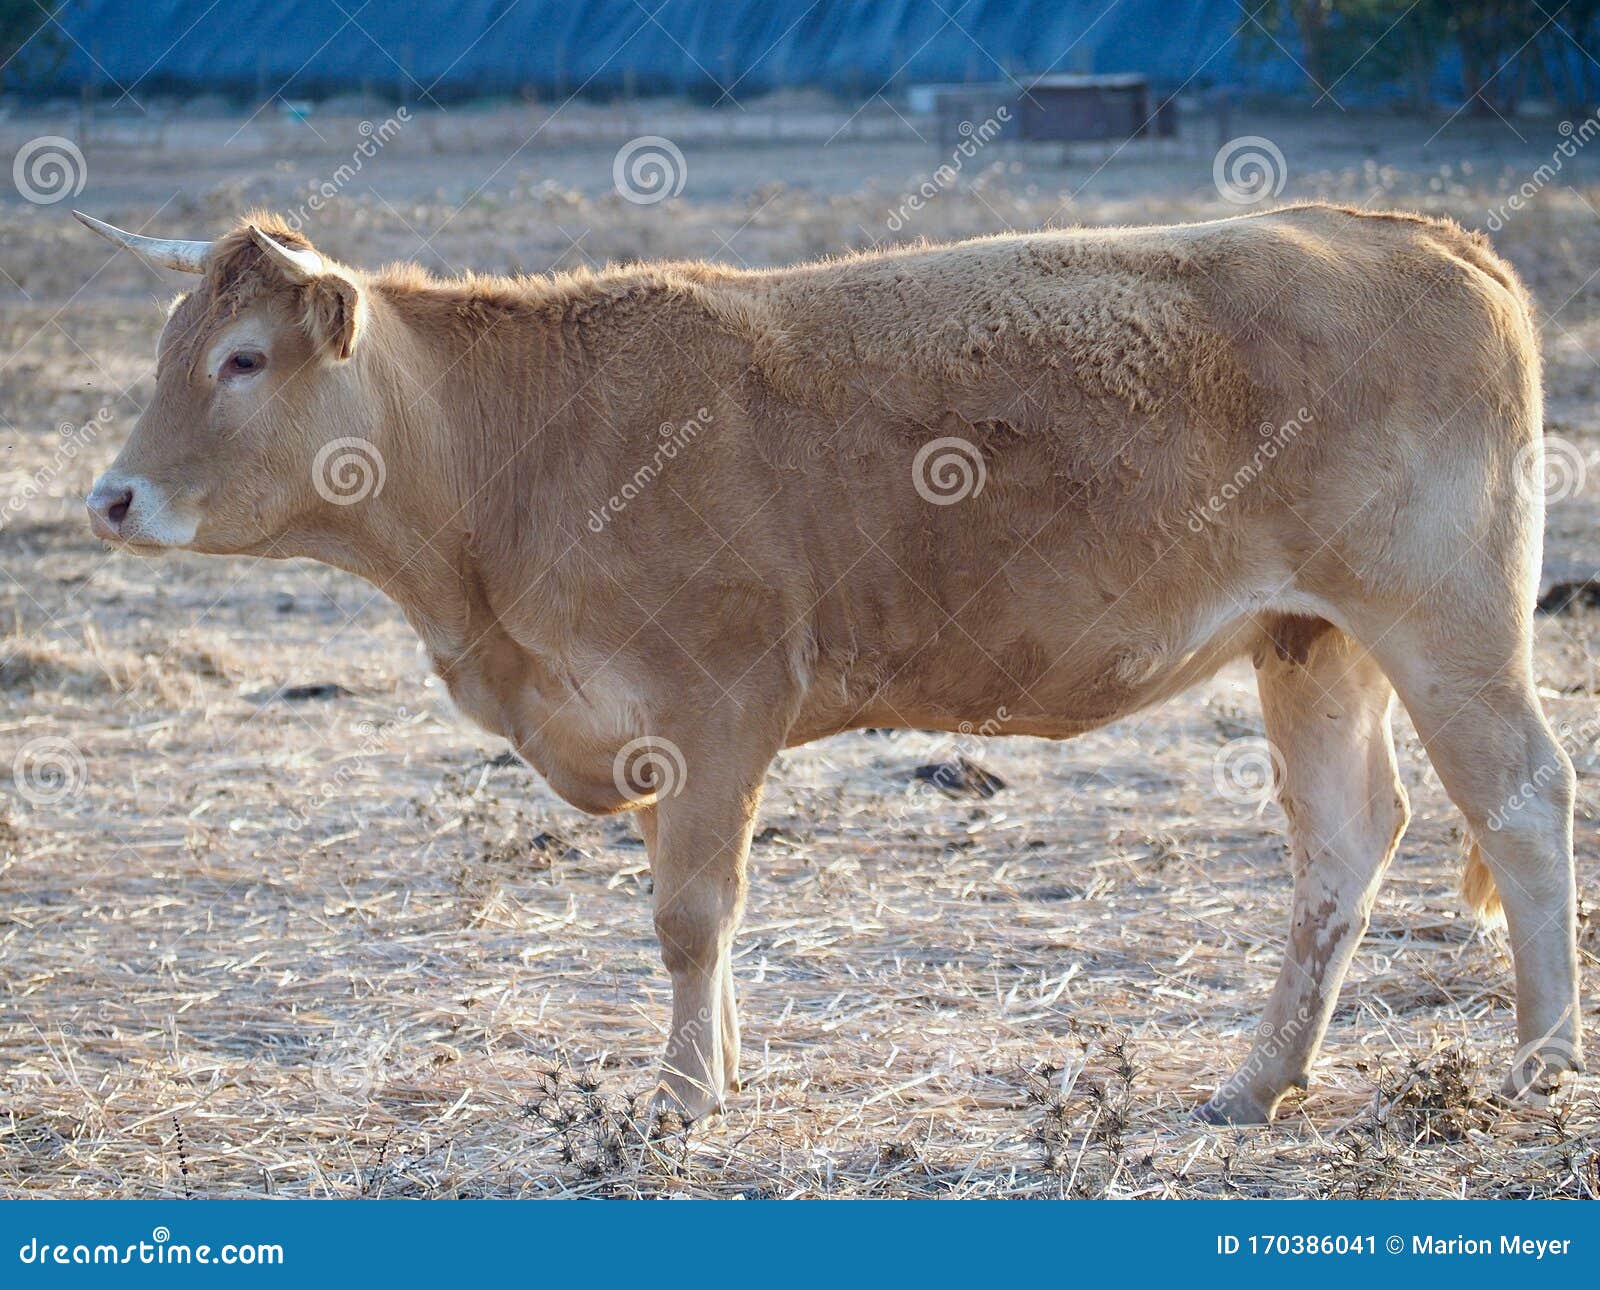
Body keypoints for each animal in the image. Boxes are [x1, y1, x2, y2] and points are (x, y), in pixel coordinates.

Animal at [74, 204, 1581, 1124]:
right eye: (169, 347)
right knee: (1345, 841)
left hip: (1445, 623)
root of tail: (1417, 235)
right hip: (1313, 640)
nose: (111, 498)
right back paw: (1257, 1082)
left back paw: (1541, 1063)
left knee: (1521, 800)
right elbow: (698, 914)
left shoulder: (716, 704)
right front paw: (721, 1071)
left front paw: (684, 1098)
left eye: (243, 358)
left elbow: (693, 913)